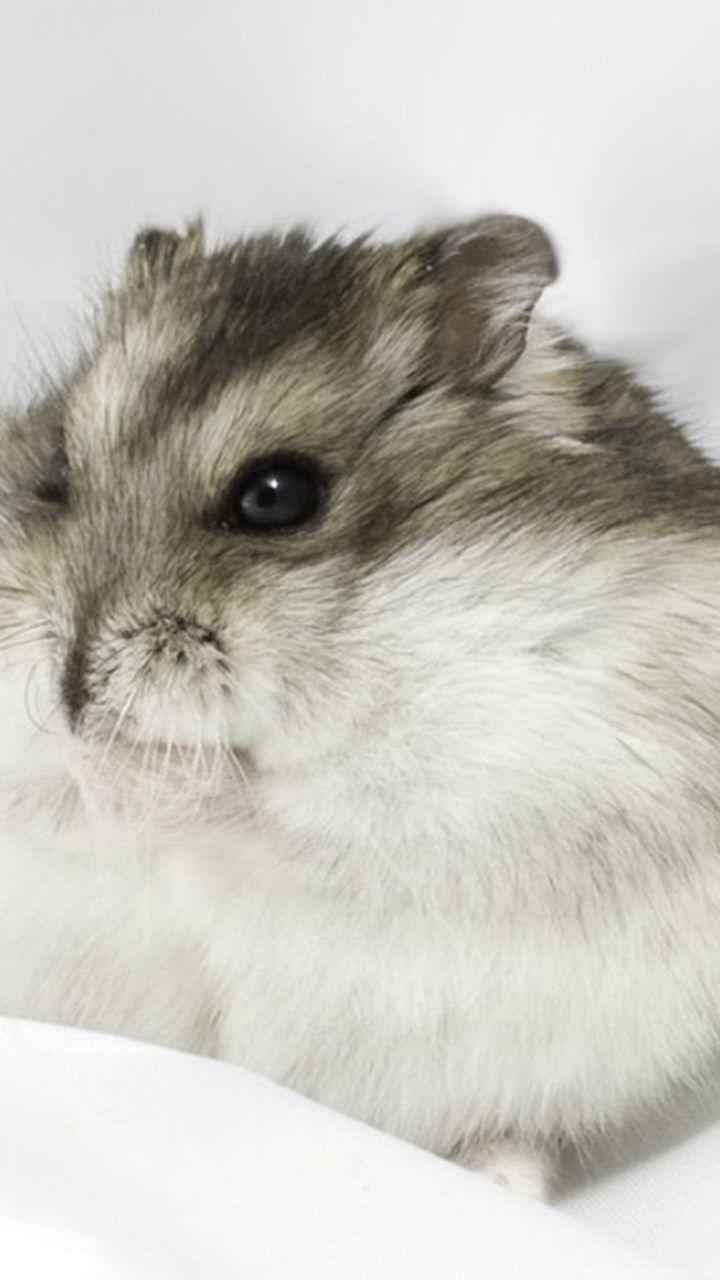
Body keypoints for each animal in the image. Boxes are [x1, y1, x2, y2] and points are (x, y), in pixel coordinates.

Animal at [2, 212, 720, 1200]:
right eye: (55, 473)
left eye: (275, 496)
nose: (73, 697)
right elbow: (54, 795)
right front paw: (94, 755)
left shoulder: (512, 764)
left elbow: (286, 805)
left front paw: (140, 763)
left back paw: (505, 1185)